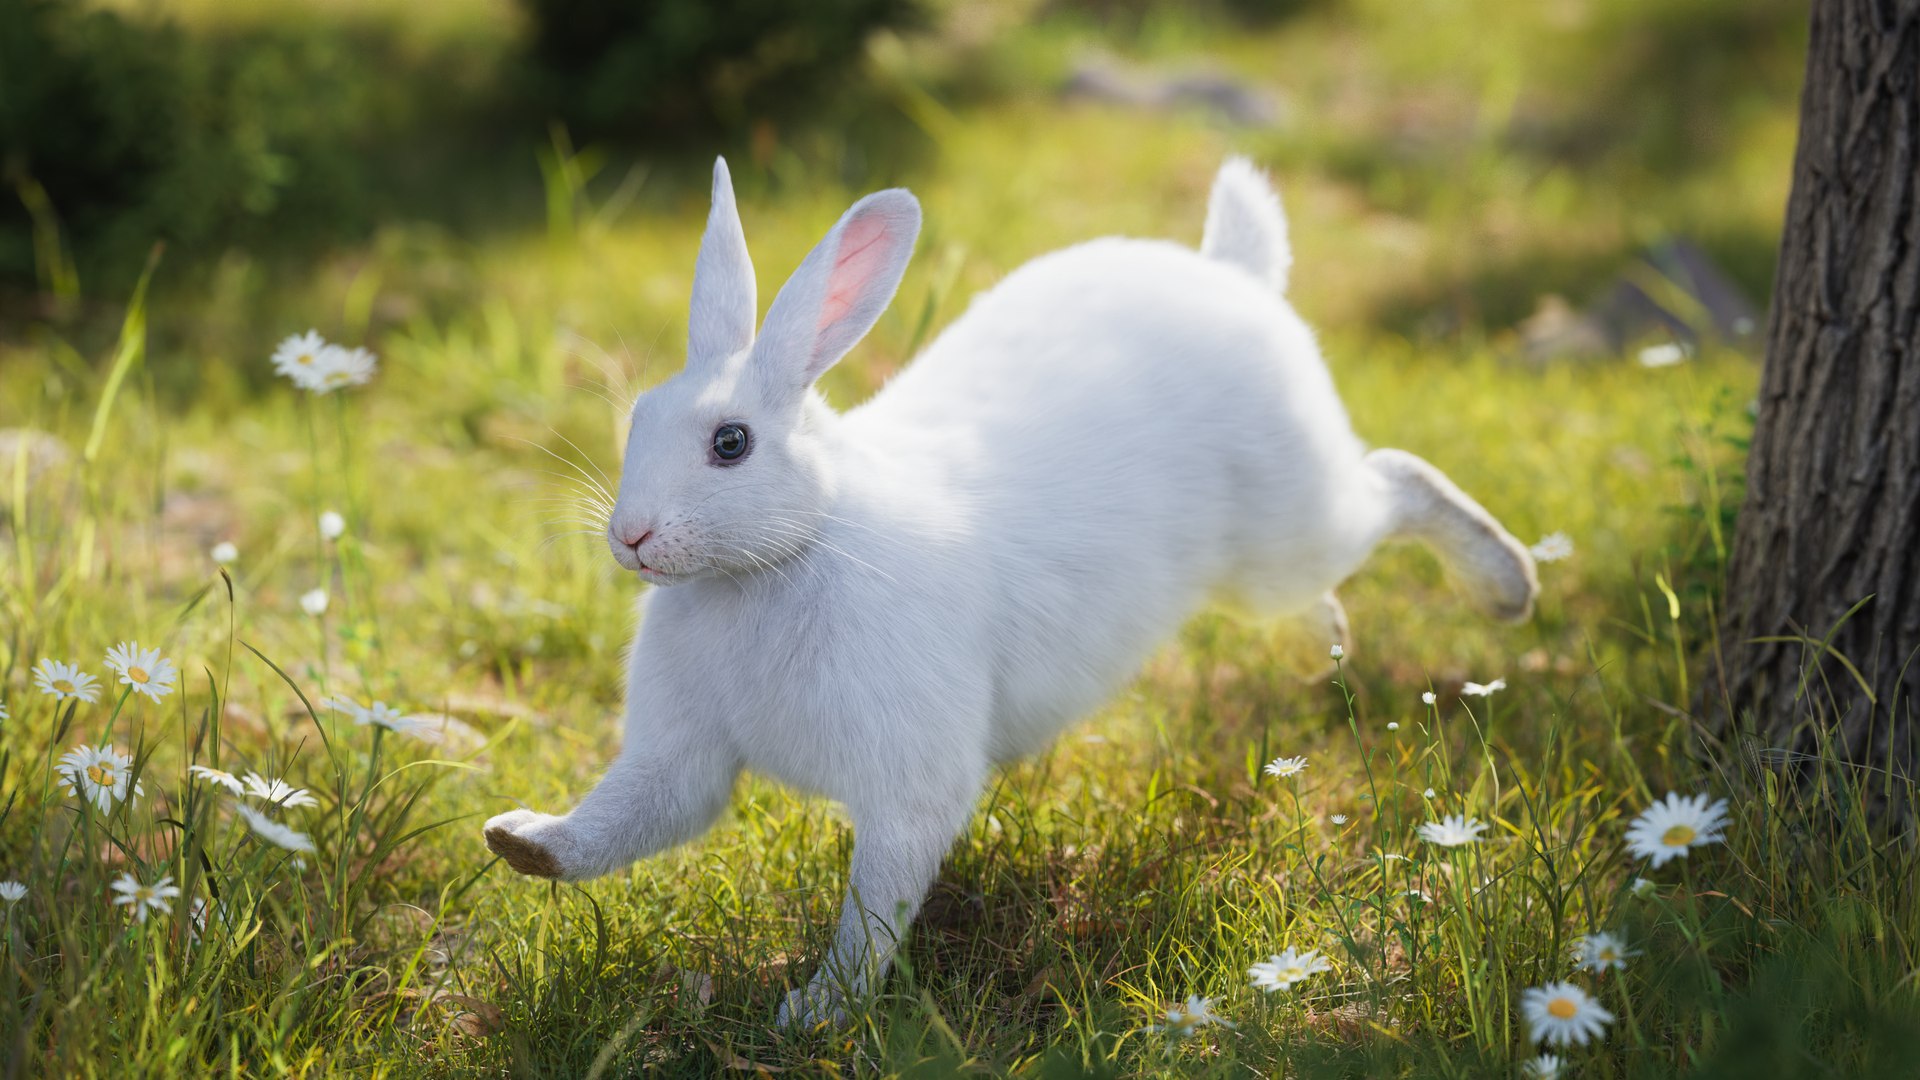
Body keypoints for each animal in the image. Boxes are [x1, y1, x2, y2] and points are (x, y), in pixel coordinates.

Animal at [483, 156, 1538, 1027]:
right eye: (639, 417)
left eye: (730, 444)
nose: (630, 538)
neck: (785, 554)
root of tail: (1234, 274)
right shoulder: (678, 760)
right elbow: (621, 824)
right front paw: (521, 844)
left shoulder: (910, 791)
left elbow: (873, 913)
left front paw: (815, 1014)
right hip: (1270, 569)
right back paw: (1334, 643)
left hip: (1297, 522)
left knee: (1395, 482)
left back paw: (1510, 588)